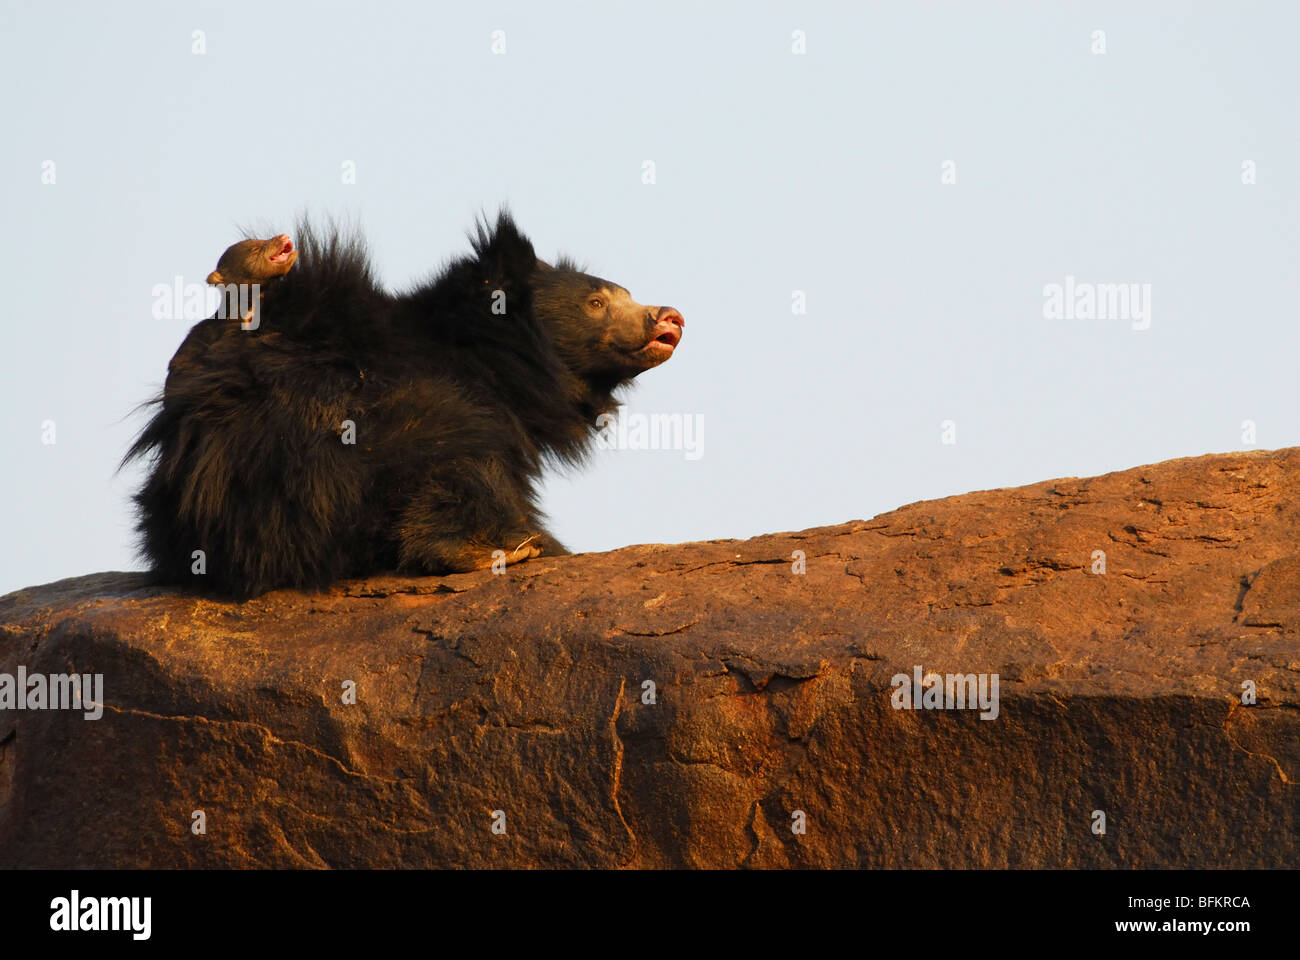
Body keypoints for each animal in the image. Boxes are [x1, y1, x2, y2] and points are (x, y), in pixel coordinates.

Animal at [123, 212, 684, 599]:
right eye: (597, 303)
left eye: (623, 294)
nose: (670, 318)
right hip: (353, 444)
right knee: (456, 469)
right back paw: (507, 546)